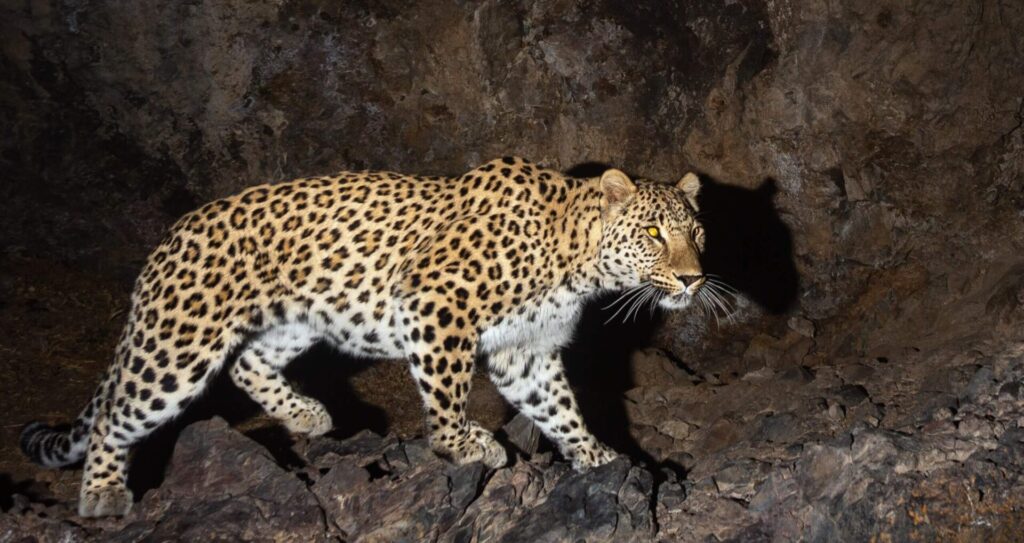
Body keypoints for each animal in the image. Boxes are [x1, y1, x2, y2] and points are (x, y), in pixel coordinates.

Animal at [21, 156, 707, 518]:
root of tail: (165, 241)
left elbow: (561, 407)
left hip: (295, 320)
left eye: (697, 232)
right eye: (652, 234)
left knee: (246, 364)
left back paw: (307, 414)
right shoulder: (437, 303)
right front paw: (463, 446)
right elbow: (447, 390)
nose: (693, 278)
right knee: (118, 412)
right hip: (176, 347)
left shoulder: (525, 353)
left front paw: (598, 457)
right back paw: (103, 492)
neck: (577, 259)